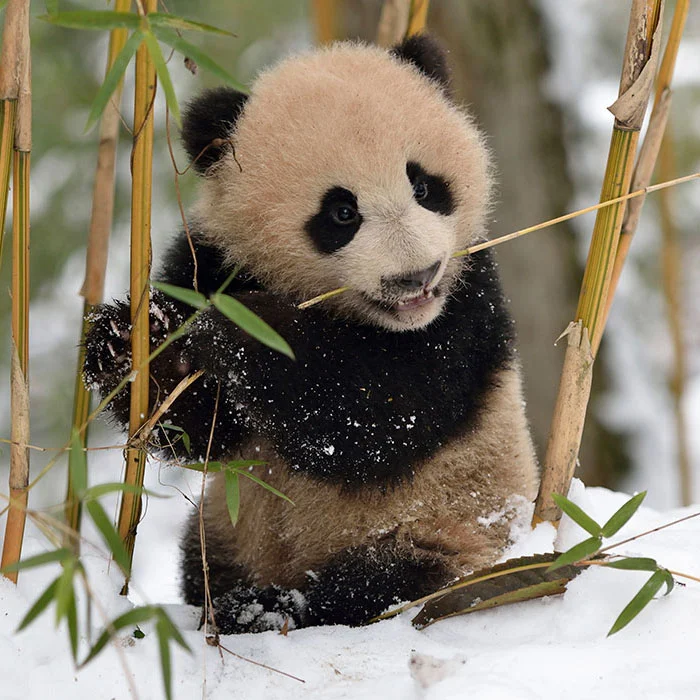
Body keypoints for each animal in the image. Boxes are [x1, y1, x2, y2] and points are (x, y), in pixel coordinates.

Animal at [84, 35, 538, 634]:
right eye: (341, 212)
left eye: (424, 186)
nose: (416, 276)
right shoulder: (212, 260)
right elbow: (201, 427)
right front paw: (126, 341)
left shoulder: (467, 304)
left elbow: (380, 415)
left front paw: (240, 326)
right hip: (230, 526)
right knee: (205, 559)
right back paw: (241, 603)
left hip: (453, 525)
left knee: (383, 585)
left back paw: (282, 608)